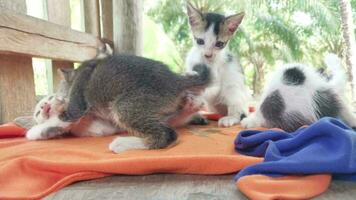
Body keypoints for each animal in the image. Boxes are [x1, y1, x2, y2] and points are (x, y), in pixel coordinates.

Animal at [27, 54, 211, 152]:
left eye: (52, 97)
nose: (45, 107)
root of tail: (175, 80)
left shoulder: (78, 102)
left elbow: (66, 115)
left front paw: (39, 127)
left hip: (125, 106)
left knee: (167, 135)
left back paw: (122, 143)